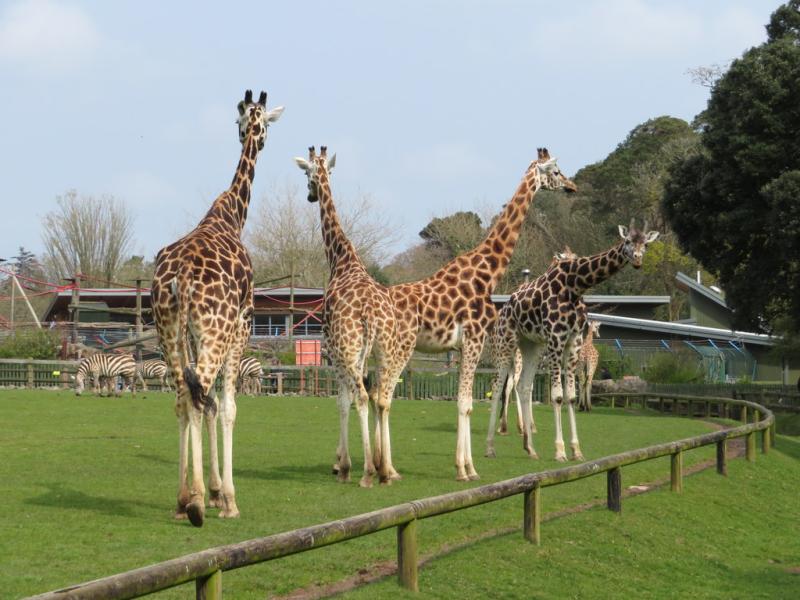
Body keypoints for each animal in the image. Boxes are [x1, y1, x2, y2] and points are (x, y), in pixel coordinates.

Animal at [151, 90, 283, 526]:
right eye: (260, 124)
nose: (257, 139)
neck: (230, 215)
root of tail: (182, 277)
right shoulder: (242, 323)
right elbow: (227, 408)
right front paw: (225, 497)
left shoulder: (193, 334)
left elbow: (205, 407)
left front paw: (209, 490)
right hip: (216, 329)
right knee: (200, 393)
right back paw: (196, 503)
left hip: (168, 331)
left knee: (183, 396)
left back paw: (183, 500)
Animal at [295, 146, 402, 487]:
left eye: (306, 173)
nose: (310, 195)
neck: (341, 259)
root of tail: (370, 314)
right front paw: (375, 464)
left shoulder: (333, 349)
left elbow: (341, 400)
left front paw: (342, 464)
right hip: (384, 350)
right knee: (382, 397)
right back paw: (387, 470)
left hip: (349, 347)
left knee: (363, 397)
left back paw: (367, 472)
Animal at [388, 148, 577, 481]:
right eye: (555, 171)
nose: (572, 187)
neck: (485, 273)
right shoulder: (474, 341)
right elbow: (465, 404)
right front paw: (467, 469)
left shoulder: (465, 346)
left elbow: (466, 402)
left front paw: (465, 466)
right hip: (401, 348)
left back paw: (377, 468)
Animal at [486, 220, 659, 461]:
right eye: (626, 241)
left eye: (646, 244)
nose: (637, 259)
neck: (575, 286)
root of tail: (504, 309)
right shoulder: (556, 338)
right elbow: (558, 396)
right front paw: (559, 450)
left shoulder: (573, 341)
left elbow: (571, 396)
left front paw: (576, 450)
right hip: (507, 343)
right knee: (498, 384)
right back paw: (490, 446)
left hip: (531, 346)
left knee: (523, 386)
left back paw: (530, 448)